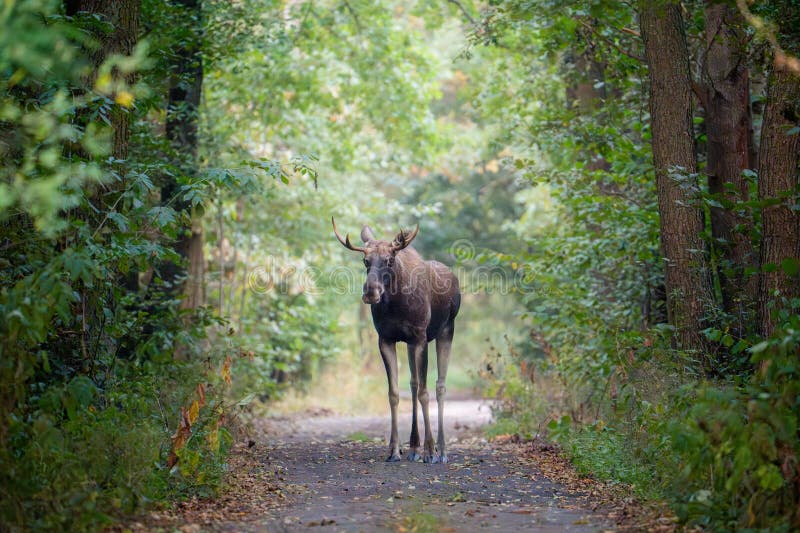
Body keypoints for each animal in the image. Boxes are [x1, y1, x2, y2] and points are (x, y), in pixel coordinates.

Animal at [332, 218, 461, 463]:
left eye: (389, 260)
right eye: (365, 261)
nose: (370, 292)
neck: (397, 305)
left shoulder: (420, 337)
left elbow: (425, 393)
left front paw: (430, 450)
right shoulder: (386, 339)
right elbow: (394, 393)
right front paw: (394, 449)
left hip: (447, 329)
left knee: (439, 385)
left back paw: (441, 450)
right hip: (410, 343)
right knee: (412, 383)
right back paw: (413, 447)